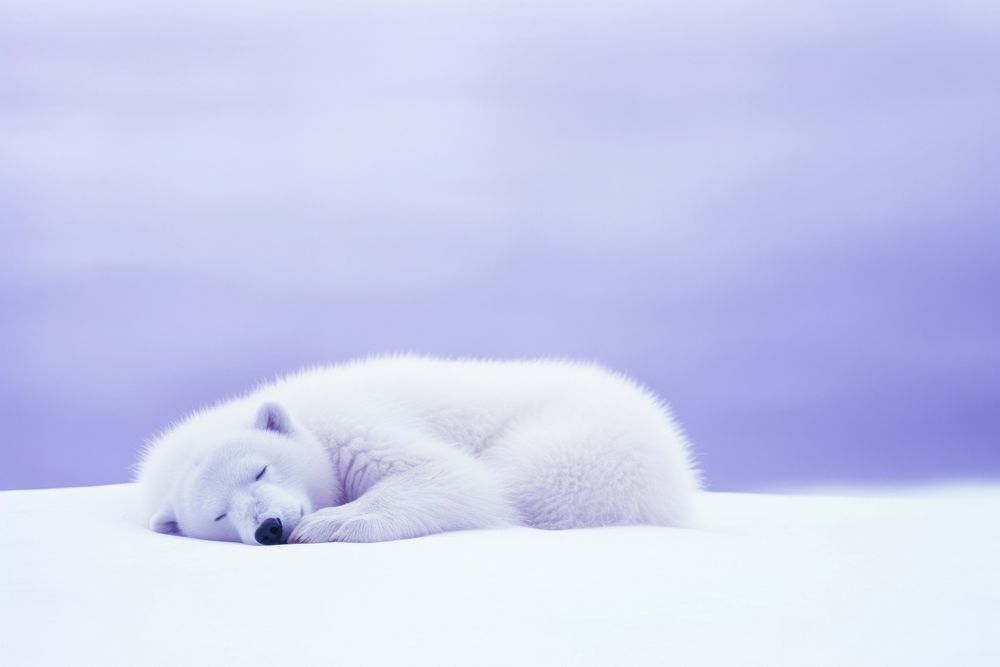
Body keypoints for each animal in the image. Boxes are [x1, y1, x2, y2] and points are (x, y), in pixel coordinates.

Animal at [135, 355, 702, 544]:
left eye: (260, 470)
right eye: (218, 514)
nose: (270, 528)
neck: (309, 411)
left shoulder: (355, 424)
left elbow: (453, 477)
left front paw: (327, 524)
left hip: (584, 443)